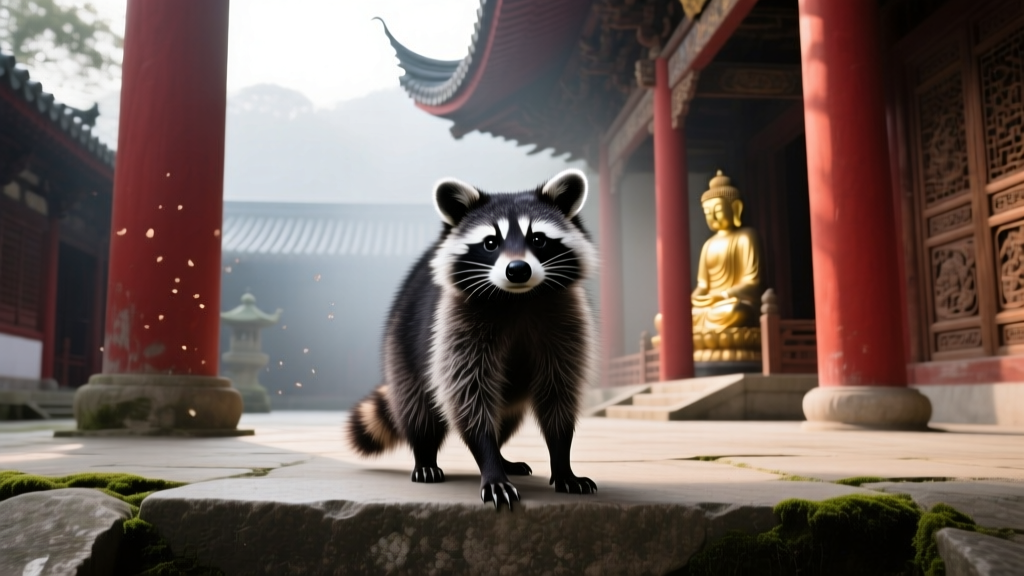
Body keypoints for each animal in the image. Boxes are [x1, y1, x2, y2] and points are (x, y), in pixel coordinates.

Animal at [346, 169, 598, 509]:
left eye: (538, 239)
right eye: (490, 242)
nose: (517, 270)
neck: (517, 299)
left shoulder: (565, 322)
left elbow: (558, 393)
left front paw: (562, 463)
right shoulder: (456, 325)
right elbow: (468, 397)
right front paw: (489, 464)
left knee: (505, 416)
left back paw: (503, 456)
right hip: (402, 348)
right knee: (417, 408)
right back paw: (425, 456)